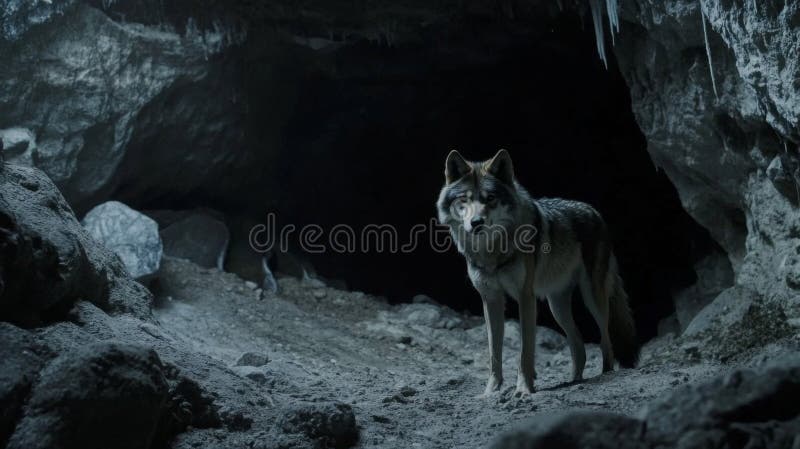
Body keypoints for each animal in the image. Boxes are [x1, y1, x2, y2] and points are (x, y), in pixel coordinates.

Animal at [437, 149, 638, 397]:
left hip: (593, 299)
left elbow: (525, 351)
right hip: (556, 306)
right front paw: (491, 391)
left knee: (605, 339)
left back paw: (605, 373)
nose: (476, 223)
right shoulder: (491, 299)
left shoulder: (525, 297)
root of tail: (593, 210)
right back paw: (574, 380)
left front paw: (524, 389)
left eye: (490, 198)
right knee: (578, 344)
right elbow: (494, 352)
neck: (492, 250)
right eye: (463, 199)